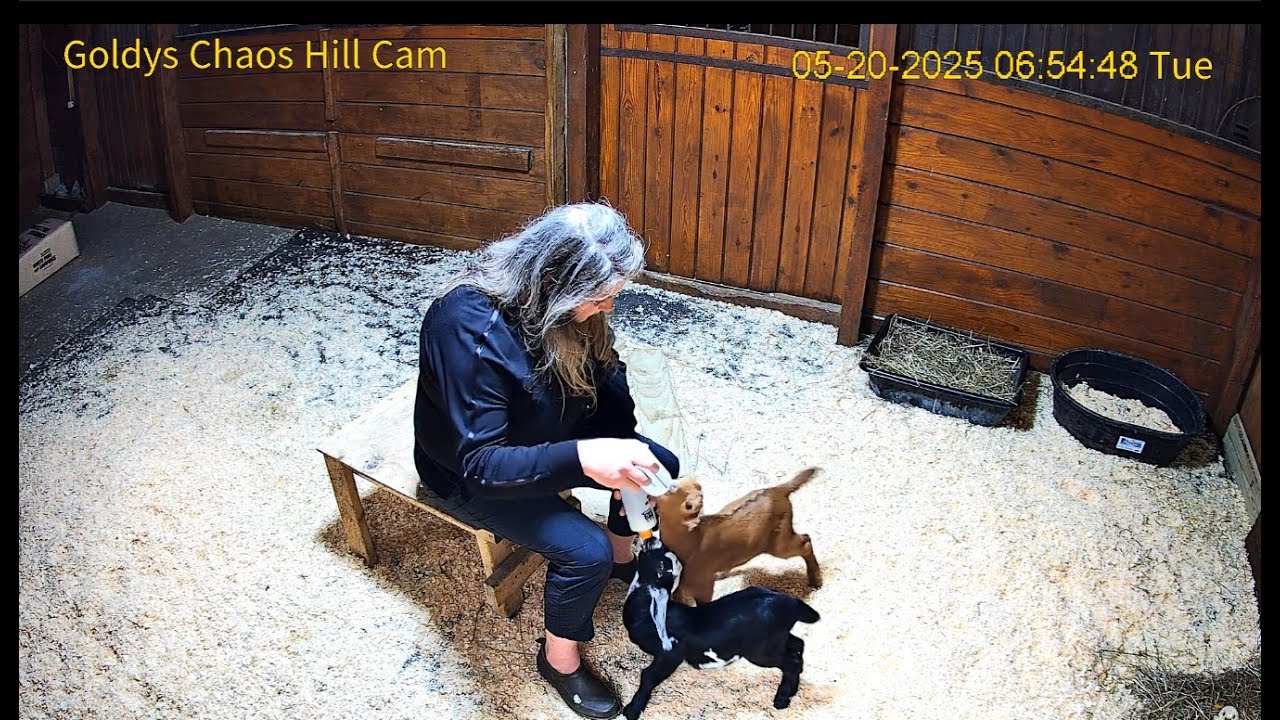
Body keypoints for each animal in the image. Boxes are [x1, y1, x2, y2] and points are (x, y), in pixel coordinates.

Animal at [621, 536, 820, 719]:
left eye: (663, 565)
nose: (652, 538)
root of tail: (788, 602)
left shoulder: (670, 655)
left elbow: (648, 676)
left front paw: (632, 710)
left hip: (761, 651)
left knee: (791, 662)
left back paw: (782, 699)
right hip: (776, 638)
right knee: (797, 645)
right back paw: (790, 690)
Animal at [652, 466, 823, 605]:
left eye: (673, 488)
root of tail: (778, 490)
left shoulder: (703, 582)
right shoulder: (680, 586)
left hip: (779, 542)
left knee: (806, 541)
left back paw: (816, 581)